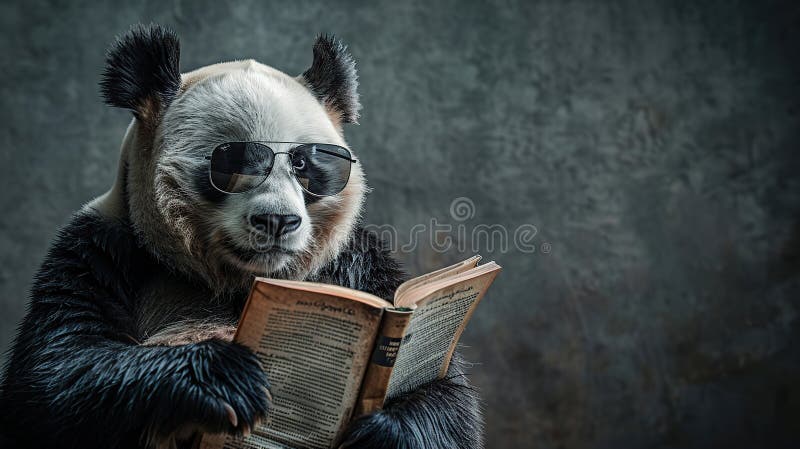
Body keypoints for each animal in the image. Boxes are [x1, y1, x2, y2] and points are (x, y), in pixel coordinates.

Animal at [0, 24, 482, 449]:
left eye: (305, 164)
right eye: (232, 162)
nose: (278, 221)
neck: (241, 282)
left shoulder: (355, 263)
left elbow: (451, 398)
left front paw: (381, 429)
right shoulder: (102, 249)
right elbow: (53, 379)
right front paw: (228, 377)